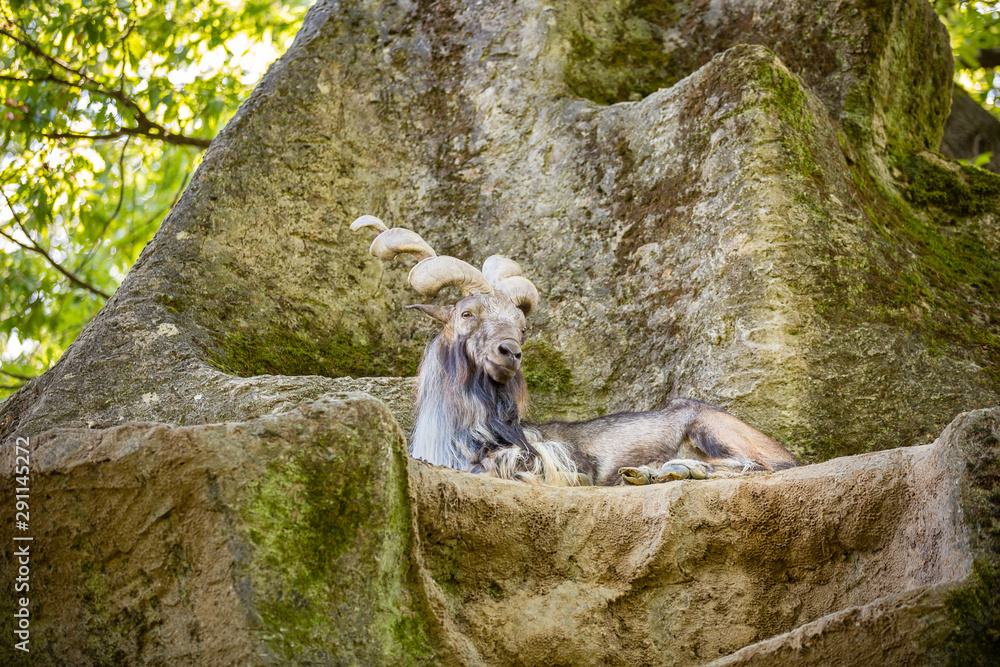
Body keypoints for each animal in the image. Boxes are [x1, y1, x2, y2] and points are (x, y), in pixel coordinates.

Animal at [351, 215, 801, 486]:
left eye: (522, 326)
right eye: (466, 312)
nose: (510, 352)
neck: (460, 433)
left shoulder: (559, 463)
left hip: (713, 428)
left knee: (759, 466)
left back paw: (664, 469)